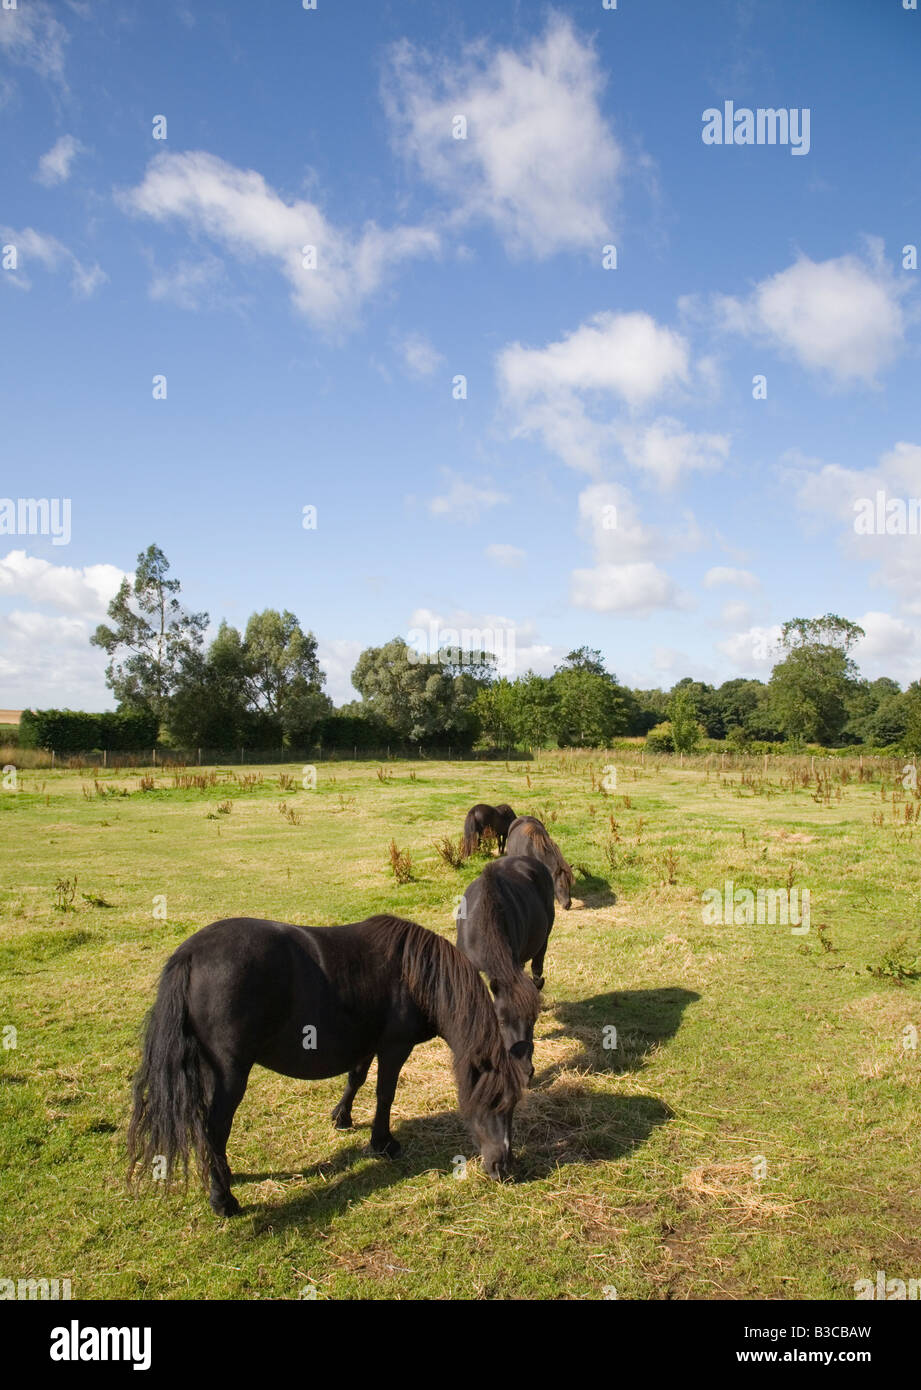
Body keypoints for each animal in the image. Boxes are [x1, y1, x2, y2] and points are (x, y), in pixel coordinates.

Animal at [127, 914, 525, 1217]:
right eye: (493, 1102)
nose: (503, 1169)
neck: (416, 974)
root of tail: (191, 953)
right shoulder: (394, 1047)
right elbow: (385, 1093)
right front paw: (383, 1143)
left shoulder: (367, 1044)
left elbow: (356, 1078)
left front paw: (342, 1117)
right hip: (230, 1073)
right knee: (215, 1128)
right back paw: (223, 1199)